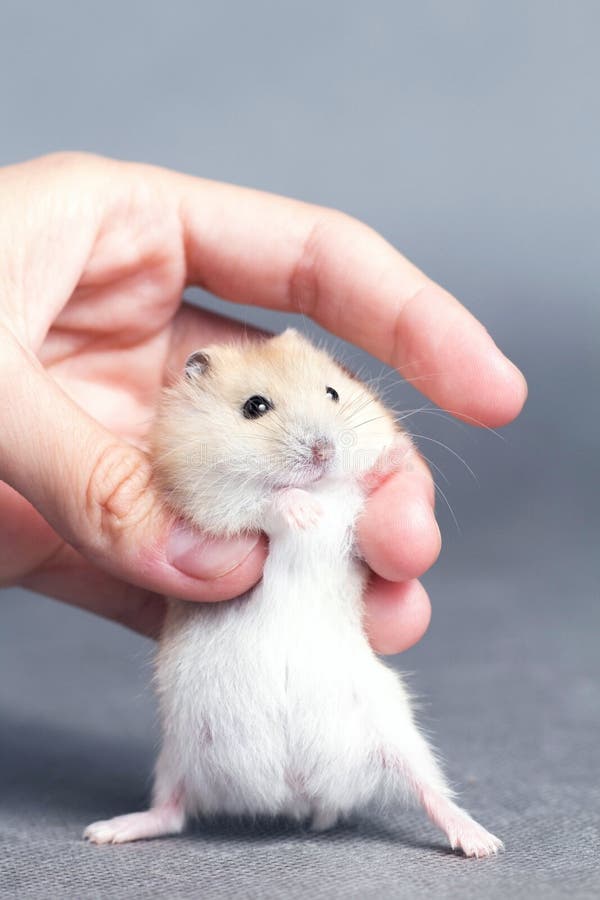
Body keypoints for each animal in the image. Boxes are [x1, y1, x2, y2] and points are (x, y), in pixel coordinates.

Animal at [84, 328, 503, 857]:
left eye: (333, 393)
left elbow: (361, 488)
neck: (318, 485)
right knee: (171, 811)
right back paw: (105, 831)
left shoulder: (353, 509)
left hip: (397, 734)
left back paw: (482, 842)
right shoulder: (209, 499)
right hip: (180, 749)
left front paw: (394, 456)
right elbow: (267, 499)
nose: (324, 449)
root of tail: (297, 792)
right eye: (255, 406)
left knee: (430, 792)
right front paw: (305, 512)